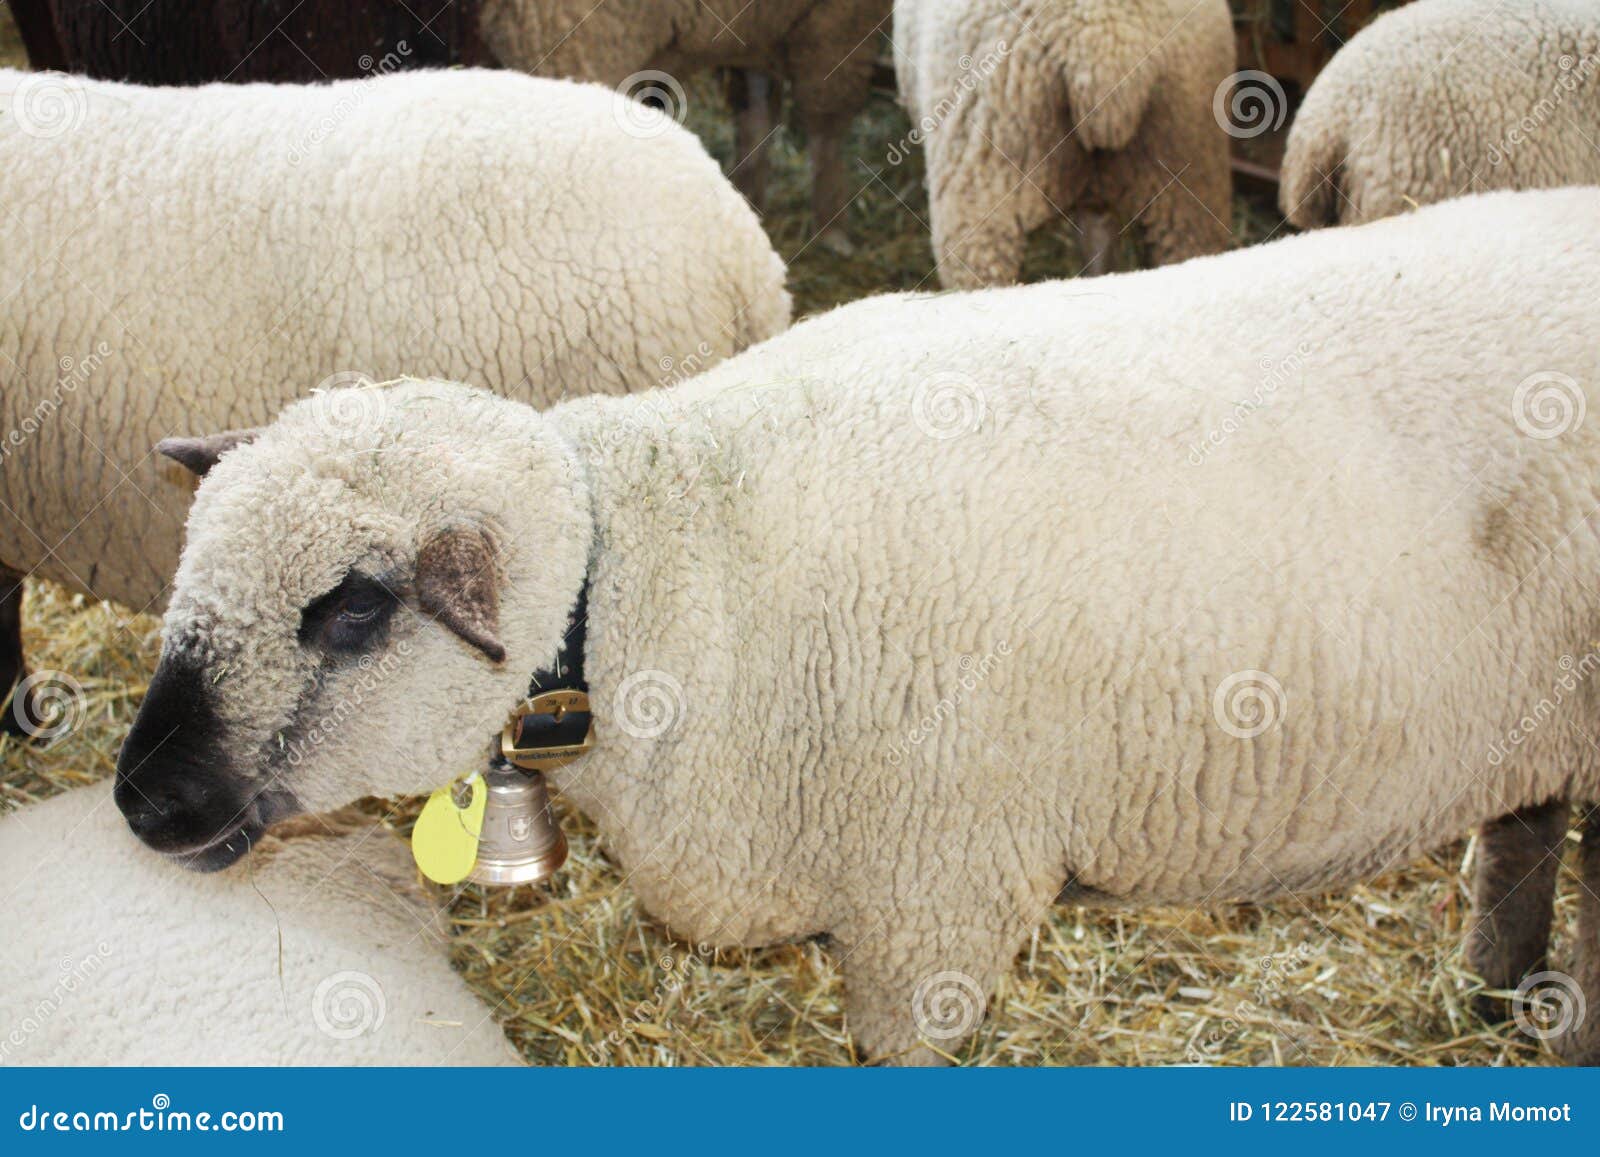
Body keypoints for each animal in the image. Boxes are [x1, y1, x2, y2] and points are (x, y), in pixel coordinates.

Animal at [116, 187, 1600, 1065]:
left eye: (351, 609)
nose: (141, 799)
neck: (672, 571)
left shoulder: (935, 894)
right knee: (1522, 831)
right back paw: (1489, 994)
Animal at [475, 0, 891, 251]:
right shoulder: (839, 22)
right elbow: (827, 128)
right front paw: (833, 227)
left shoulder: (757, 32)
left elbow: (756, 116)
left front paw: (749, 201)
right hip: (571, 42)